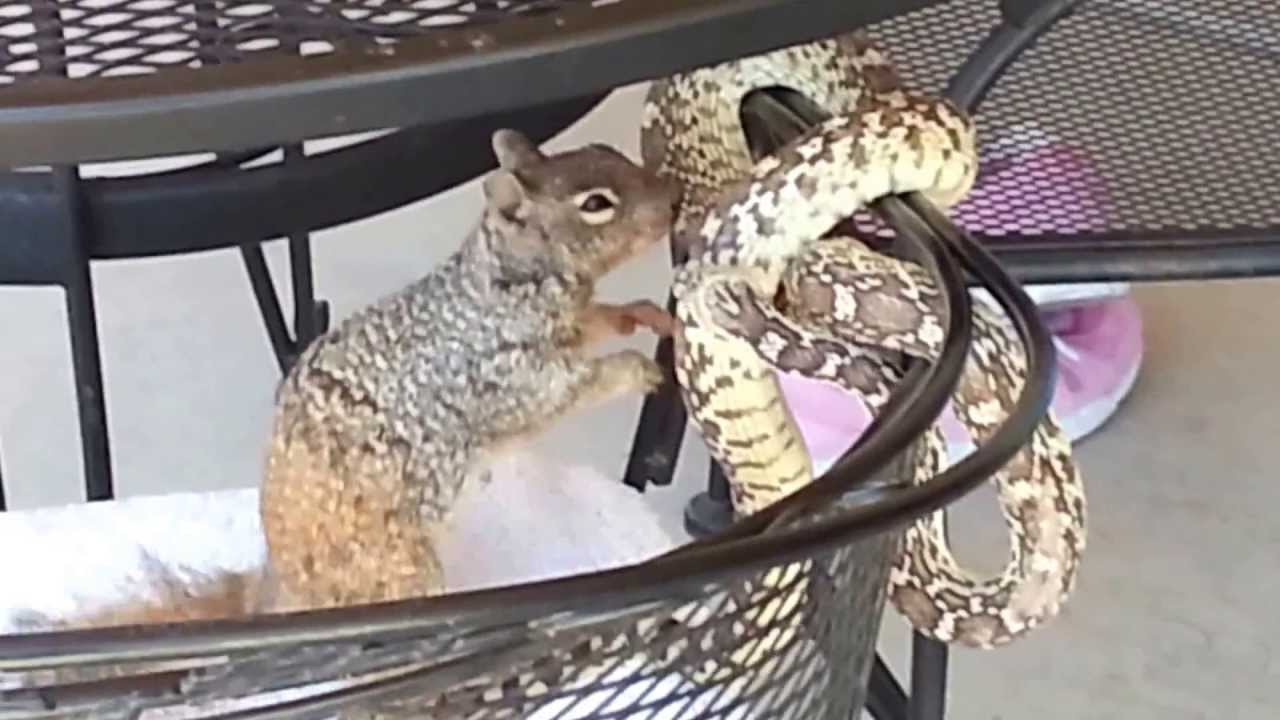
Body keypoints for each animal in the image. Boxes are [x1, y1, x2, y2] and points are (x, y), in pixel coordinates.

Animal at [26, 128, 680, 634]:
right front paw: (638, 368)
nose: (674, 203)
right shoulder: (503, 375)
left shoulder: (566, 325)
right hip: (399, 567)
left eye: (606, 151)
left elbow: (598, 322)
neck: (506, 283)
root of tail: (285, 598)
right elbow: (568, 389)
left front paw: (644, 315)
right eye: (595, 204)